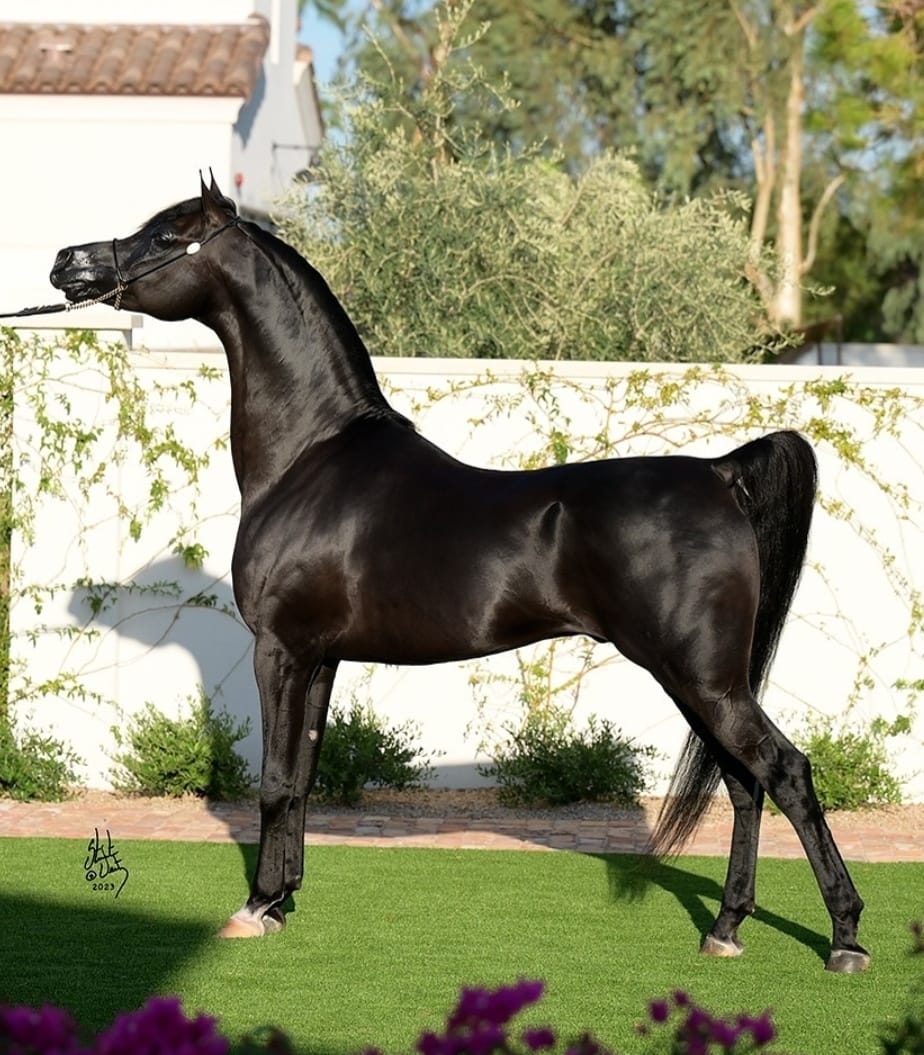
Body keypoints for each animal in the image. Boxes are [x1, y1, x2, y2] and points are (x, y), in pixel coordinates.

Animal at [49, 176, 869, 972]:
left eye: (165, 234)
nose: (66, 262)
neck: (313, 456)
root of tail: (720, 473)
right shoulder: (321, 658)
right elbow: (304, 777)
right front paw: (282, 901)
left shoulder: (279, 649)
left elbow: (275, 781)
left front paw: (253, 908)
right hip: (698, 682)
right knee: (743, 783)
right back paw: (726, 928)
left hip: (703, 679)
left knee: (785, 772)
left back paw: (845, 939)